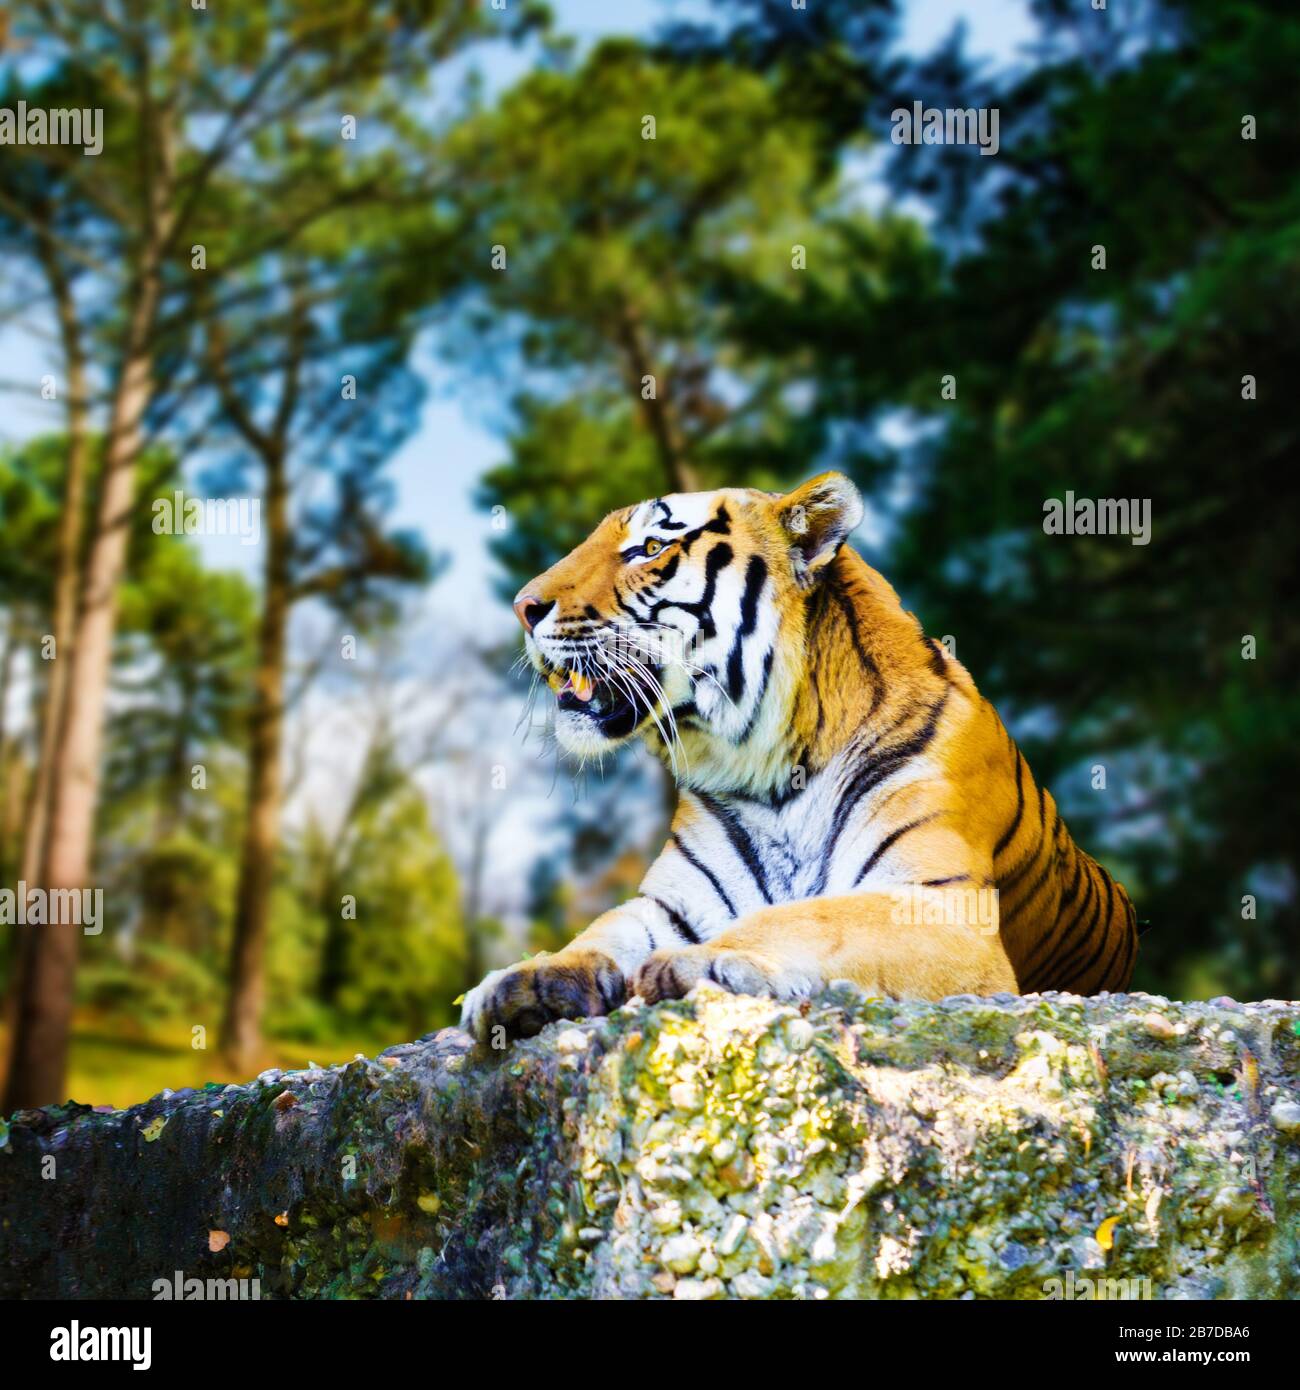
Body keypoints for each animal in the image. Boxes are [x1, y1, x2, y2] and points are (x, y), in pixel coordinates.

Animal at [460, 472, 1137, 1043]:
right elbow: (604, 928)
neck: (772, 774)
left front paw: (703, 961)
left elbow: (810, 918)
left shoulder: (942, 909)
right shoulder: (670, 903)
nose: (523, 607)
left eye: (650, 548)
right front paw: (523, 980)